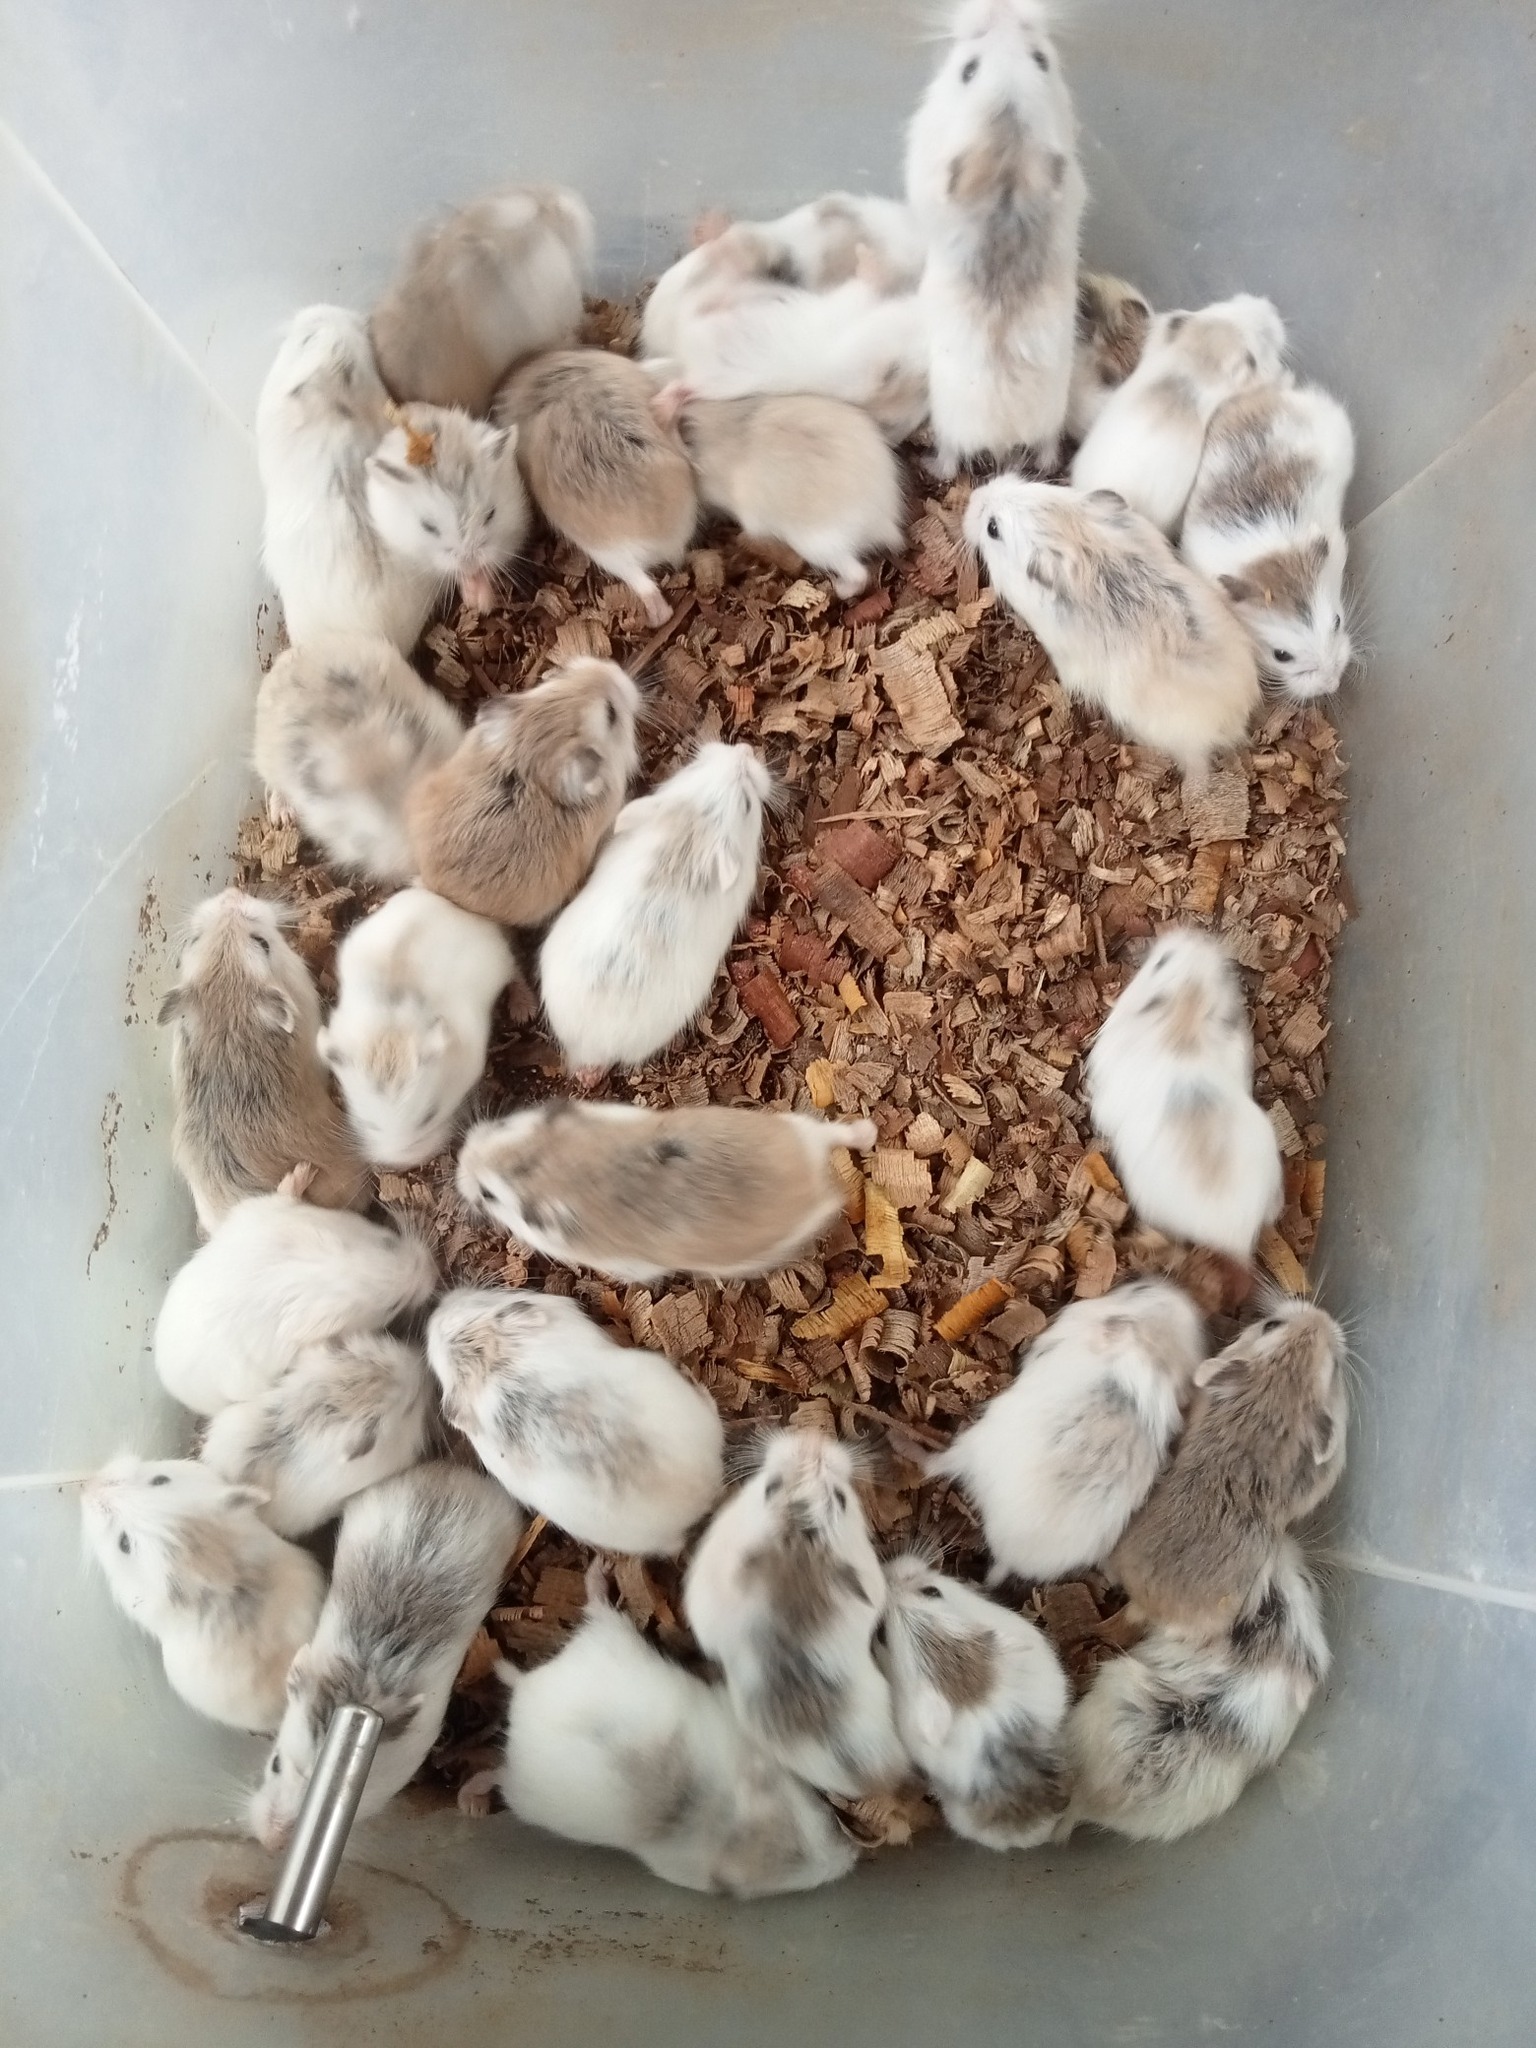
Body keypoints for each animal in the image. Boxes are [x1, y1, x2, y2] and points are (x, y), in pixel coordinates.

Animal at [154, 1167, 436, 1415]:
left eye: (388, 1241)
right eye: (393, 1306)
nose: (434, 1273)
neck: (313, 1273)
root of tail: (165, 1375)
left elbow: (285, 1193)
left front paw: (305, 1170)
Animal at [364, 401, 530, 613]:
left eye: (491, 514)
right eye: (428, 527)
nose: (469, 565)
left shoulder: (510, 536)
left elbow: (489, 565)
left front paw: (483, 603)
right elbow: (454, 572)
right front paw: (472, 599)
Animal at [457, 1100, 878, 1285]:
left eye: (488, 1194)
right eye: (503, 1124)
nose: (459, 1165)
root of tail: (816, 1182)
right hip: (798, 1127)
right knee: (837, 1132)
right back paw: (868, 1131)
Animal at [904, 0, 1087, 474]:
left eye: (967, 70)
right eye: (1041, 61)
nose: (1001, 6)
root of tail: (1004, 443)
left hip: (948, 426)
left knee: (951, 460)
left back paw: (931, 464)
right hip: (1049, 424)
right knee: (1046, 450)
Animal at [929, 1280, 1206, 1581]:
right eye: (1141, 1289)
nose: (1179, 1293)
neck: (1149, 1349)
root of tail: (1009, 1553)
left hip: (978, 1440)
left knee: (943, 1462)